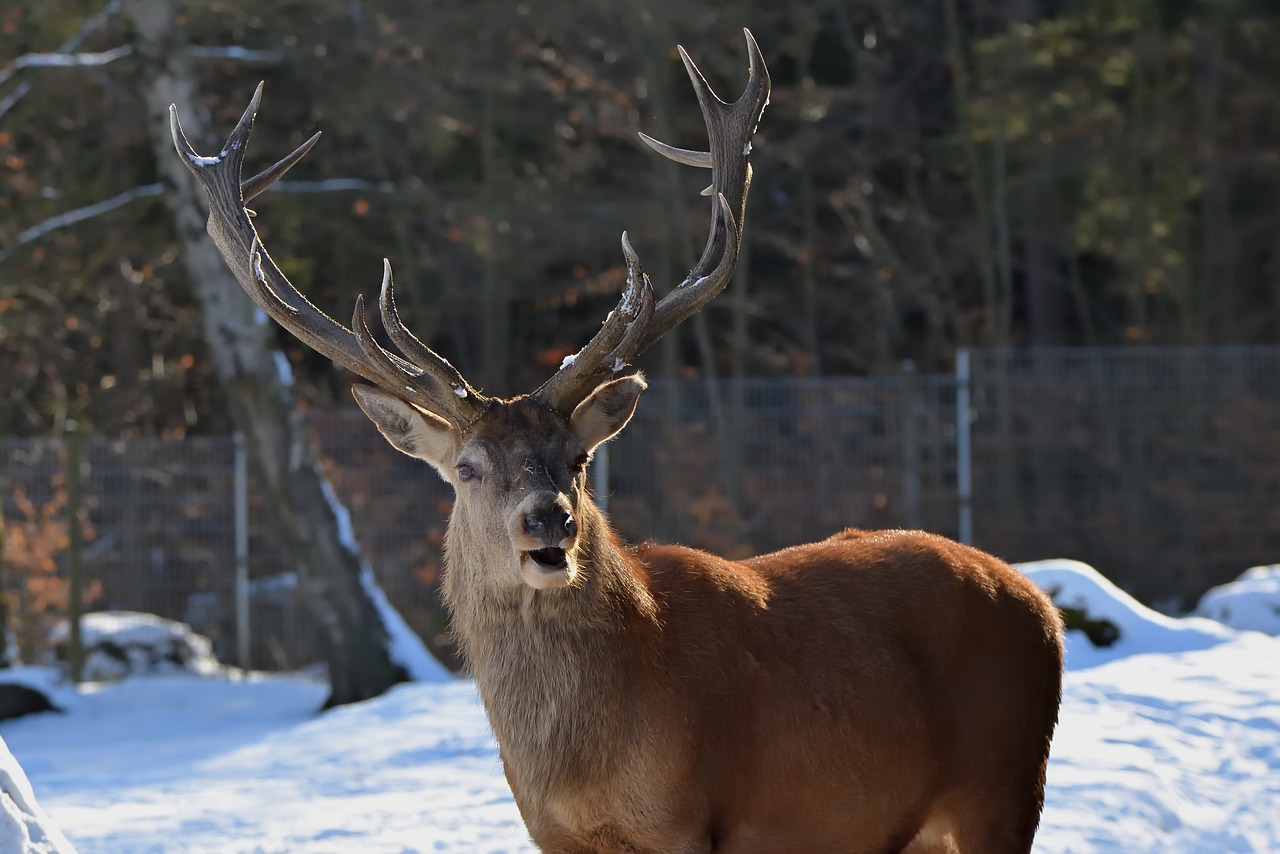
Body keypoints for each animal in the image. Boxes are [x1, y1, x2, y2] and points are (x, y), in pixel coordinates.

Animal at [170, 30, 1063, 854]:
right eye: (468, 468)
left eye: (579, 458)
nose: (549, 521)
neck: (580, 770)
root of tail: (1042, 603)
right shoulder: (550, 835)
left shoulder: (681, 821)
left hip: (1004, 782)